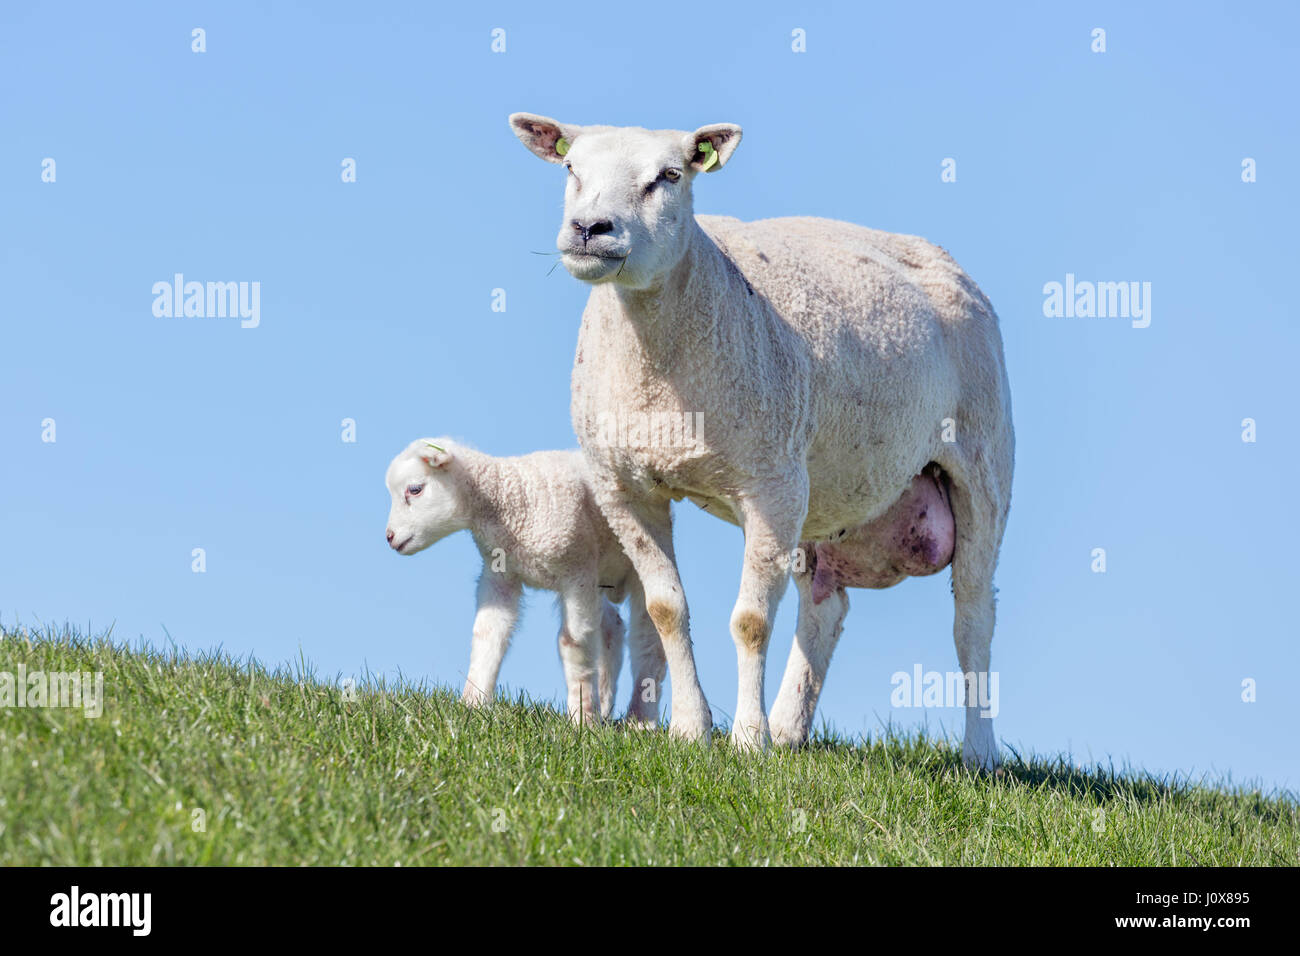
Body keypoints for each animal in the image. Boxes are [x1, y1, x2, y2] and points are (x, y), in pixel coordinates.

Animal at [384, 438, 665, 725]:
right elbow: (487, 635)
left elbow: (573, 643)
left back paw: (640, 720)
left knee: (648, 641)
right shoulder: (501, 575)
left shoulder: (577, 571)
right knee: (612, 627)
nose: (389, 537)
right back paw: (605, 707)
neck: (507, 499)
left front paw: (582, 718)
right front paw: (473, 704)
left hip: (641, 566)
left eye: (415, 490)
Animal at [509, 114, 1015, 768]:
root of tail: (943, 260)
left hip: (981, 462)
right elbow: (667, 609)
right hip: (820, 490)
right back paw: (791, 727)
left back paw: (979, 753)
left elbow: (750, 621)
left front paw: (748, 741)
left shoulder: (769, 486)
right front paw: (692, 729)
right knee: (825, 608)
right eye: (571, 168)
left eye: (670, 175)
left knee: (973, 616)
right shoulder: (624, 487)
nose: (591, 229)